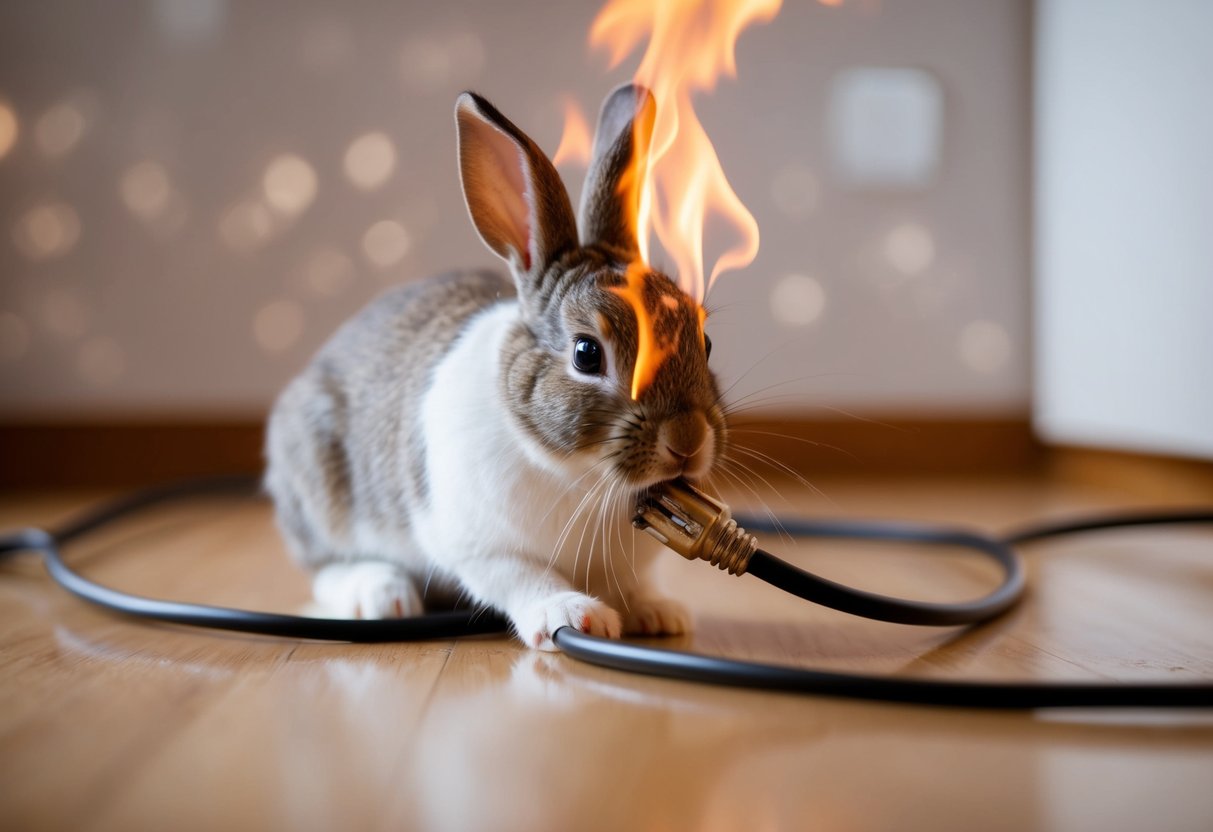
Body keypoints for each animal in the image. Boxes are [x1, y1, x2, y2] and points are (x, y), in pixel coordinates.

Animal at [264, 84, 727, 650]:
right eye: (586, 354)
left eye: (704, 341)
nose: (687, 439)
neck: (581, 475)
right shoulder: (481, 547)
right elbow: (522, 578)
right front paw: (574, 615)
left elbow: (633, 585)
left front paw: (660, 614)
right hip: (319, 488)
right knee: (326, 569)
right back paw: (383, 595)